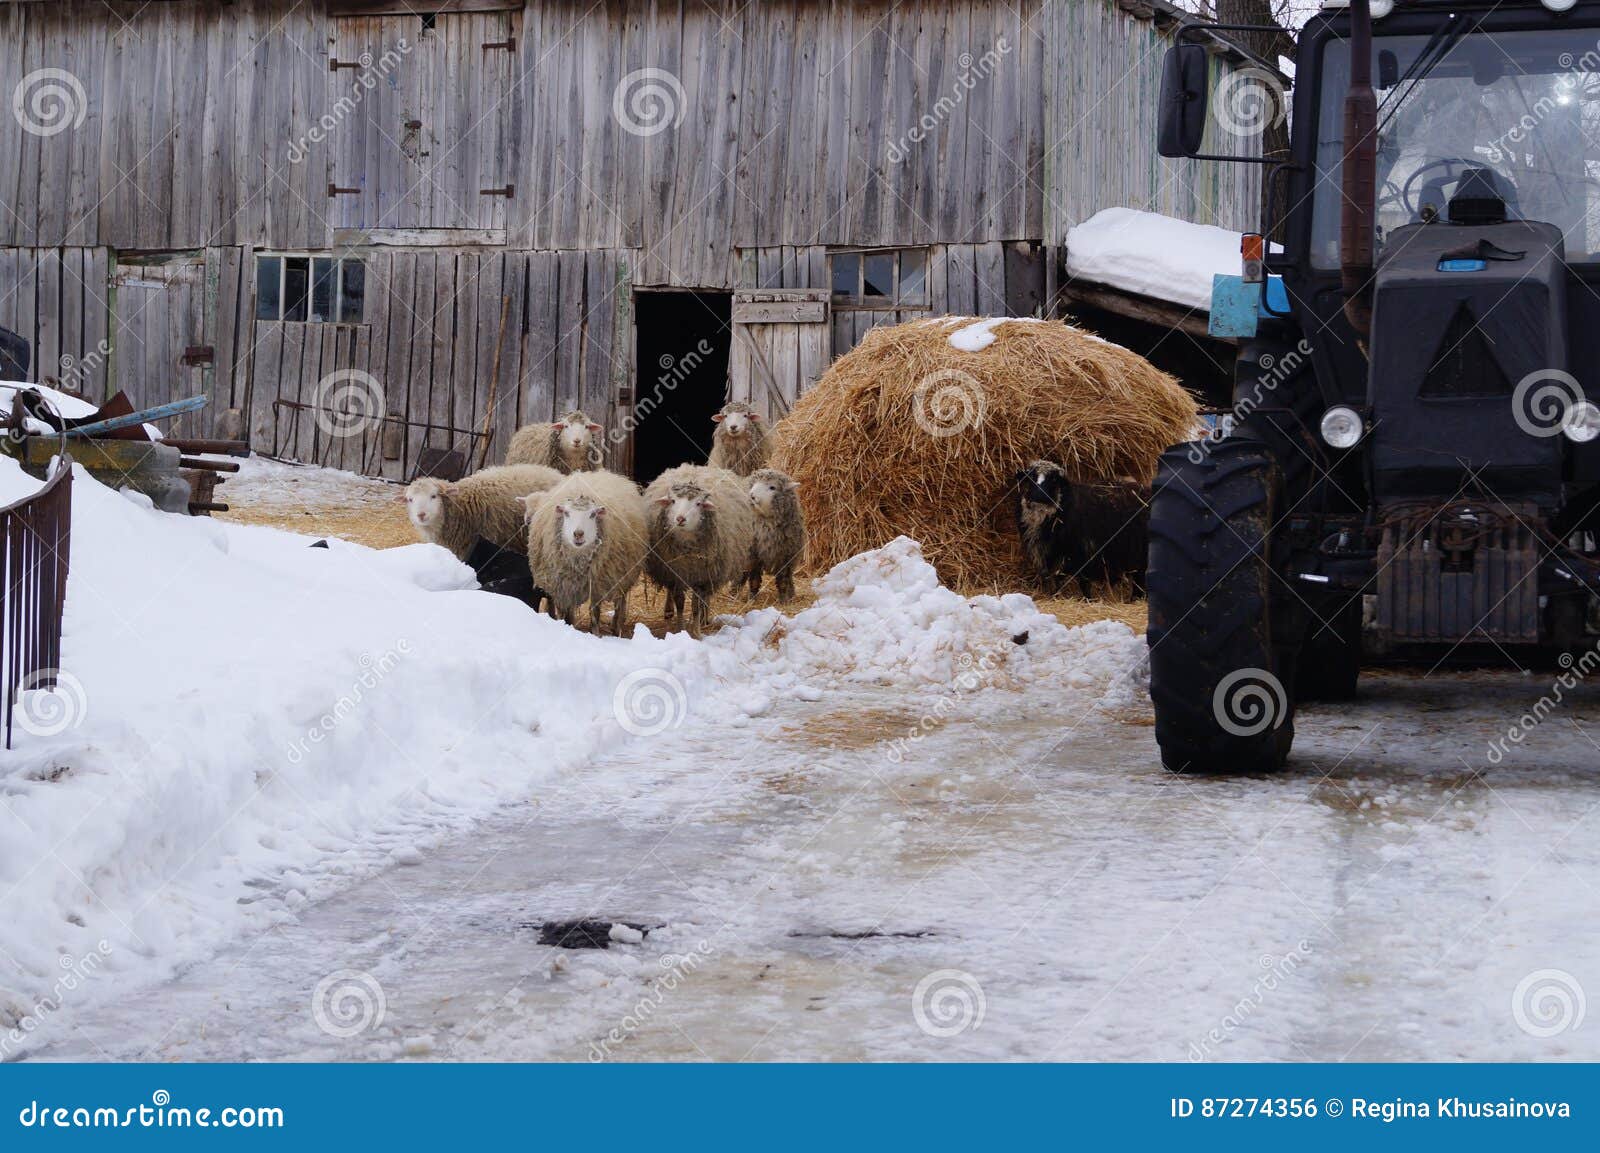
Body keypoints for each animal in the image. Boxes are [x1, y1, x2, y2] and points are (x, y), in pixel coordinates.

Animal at [524, 469, 649, 635]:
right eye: (566, 513)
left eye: (593, 514)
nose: (578, 534)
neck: (578, 559)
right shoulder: (561, 585)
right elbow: (564, 611)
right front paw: (566, 626)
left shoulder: (597, 584)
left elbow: (594, 612)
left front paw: (595, 633)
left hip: (624, 574)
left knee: (620, 602)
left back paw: (617, 627)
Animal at [642, 463, 755, 636]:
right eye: (673, 501)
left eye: (698, 504)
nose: (680, 518)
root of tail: (694, 466)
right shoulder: (675, 572)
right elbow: (680, 602)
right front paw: (680, 628)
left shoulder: (702, 577)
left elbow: (696, 606)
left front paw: (695, 631)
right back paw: (669, 612)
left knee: (704, 599)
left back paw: (703, 619)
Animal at [744, 468, 805, 602]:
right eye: (753, 484)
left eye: (772, 487)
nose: (752, 496)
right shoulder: (754, 556)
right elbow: (754, 579)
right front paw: (752, 598)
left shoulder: (786, 557)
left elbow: (783, 580)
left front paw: (784, 599)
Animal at [1014, 460, 1149, 597]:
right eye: (1031, 477)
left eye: (1054, 479)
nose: (1039, 495)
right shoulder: (1050, 554)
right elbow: (1053, 579)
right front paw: (1053, 595)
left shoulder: (1082, 553)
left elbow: (1081, 582)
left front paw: (1087, 598)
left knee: (1139, 579)